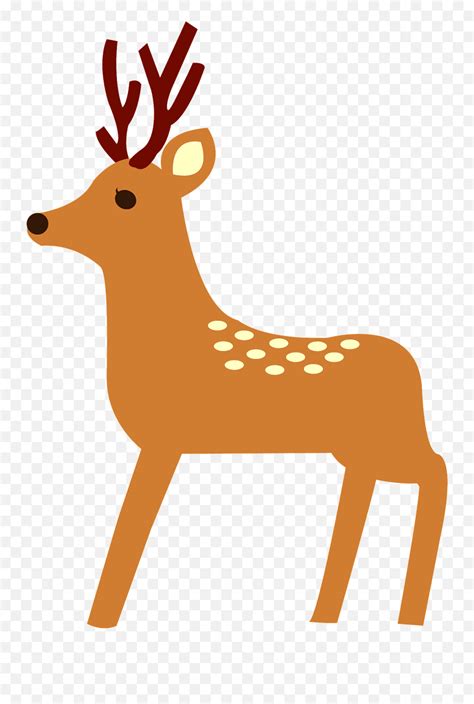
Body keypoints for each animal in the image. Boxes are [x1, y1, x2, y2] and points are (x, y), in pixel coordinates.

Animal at [26, 22, 447, 629]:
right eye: (91, 180)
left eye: (125, 196)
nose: (38, 221)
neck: (173, 335)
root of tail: (411, 365)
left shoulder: (166, 438)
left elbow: (129, 531)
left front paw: (99, 621)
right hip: (360, 446)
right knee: (373, 487)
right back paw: (327, 614)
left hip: (394, 436)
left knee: (437, 471)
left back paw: (408, 616)